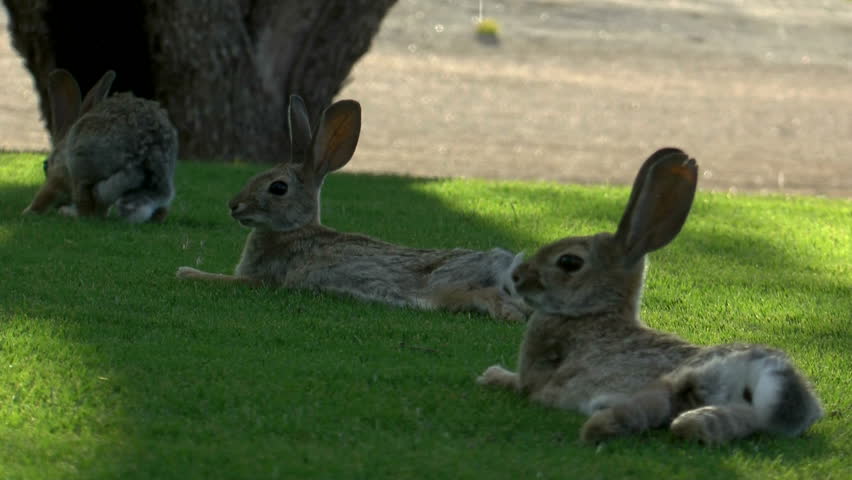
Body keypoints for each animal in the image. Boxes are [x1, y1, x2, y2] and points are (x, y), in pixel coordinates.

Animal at [22, 69, 178, 223]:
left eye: (45, 165)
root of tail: (148, 153)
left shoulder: (59, 176)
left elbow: (46, 195)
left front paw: (28, 212)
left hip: (81, 168)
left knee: (88, 204)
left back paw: (72, 215)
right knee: (161, 210)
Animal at [176, 95, 529, 322]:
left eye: (278, 187)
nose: (234, 206)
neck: (295, 230)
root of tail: (506, 267)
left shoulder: (264, 281)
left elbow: (222, 280)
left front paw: (186, 272)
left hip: (448, 287)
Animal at [477, 148, 823, 444]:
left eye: (569, 262)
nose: (518, 277)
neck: (593, 312)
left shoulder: (535, 373)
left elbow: (519, 383)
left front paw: (492, 375)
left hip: (677, 378)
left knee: (652, 405)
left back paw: (597, 426)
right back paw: (695, 425)